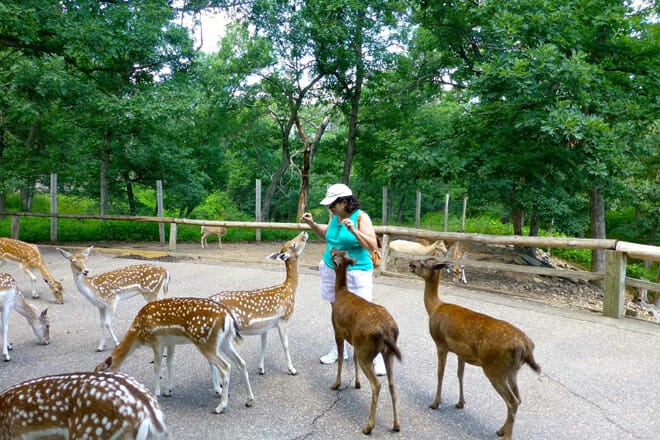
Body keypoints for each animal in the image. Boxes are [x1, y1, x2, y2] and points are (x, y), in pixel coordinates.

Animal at [95, 297, 255, 414]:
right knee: (241, 362)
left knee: (226, 367)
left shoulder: (156, 340)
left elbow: (157, 365)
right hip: (224, 342)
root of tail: (228, 317)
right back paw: (249, 400)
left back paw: (220, 407)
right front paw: (168, 390)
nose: (101, 396)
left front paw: (156, 393)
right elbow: (170, 362)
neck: (138, 334)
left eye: (101, 372)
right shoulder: (170, 342)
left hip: (206, 342)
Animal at [209, 231, 307, 375]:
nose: (304, 232)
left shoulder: (265, 326)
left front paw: (261, 369)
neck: (289, 288)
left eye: (289, 242)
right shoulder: (283, 319)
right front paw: (292, 369)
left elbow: (263, 345)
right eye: (293, 244)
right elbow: (285, 345)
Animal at [329, 248, 402, 435]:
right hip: (386, 352)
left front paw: (336, 384)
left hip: (366, 350)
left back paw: (369, 426)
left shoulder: (338, 330)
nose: (332, 248)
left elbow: (341, 358)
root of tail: (387, 330)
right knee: (392, 383)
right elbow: (352, 358)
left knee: (377, 384)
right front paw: (356, 383)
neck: (341, 292)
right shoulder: (355, 340)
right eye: (342, 251)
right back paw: (396, 425)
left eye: (335, 255)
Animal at [408, 258, 541, 440]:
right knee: (518, 399)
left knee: (512, 401)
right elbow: (460, 374)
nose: (410, 263)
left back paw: (506, 435)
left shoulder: (441, 343)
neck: (434, 308)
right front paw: (460, 402)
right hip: (512, 371)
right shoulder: (460, 353)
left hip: (495, 369)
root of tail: (527, 347)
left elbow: (440, 373)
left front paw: (435, 403)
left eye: (423, 263)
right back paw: (501, 430)